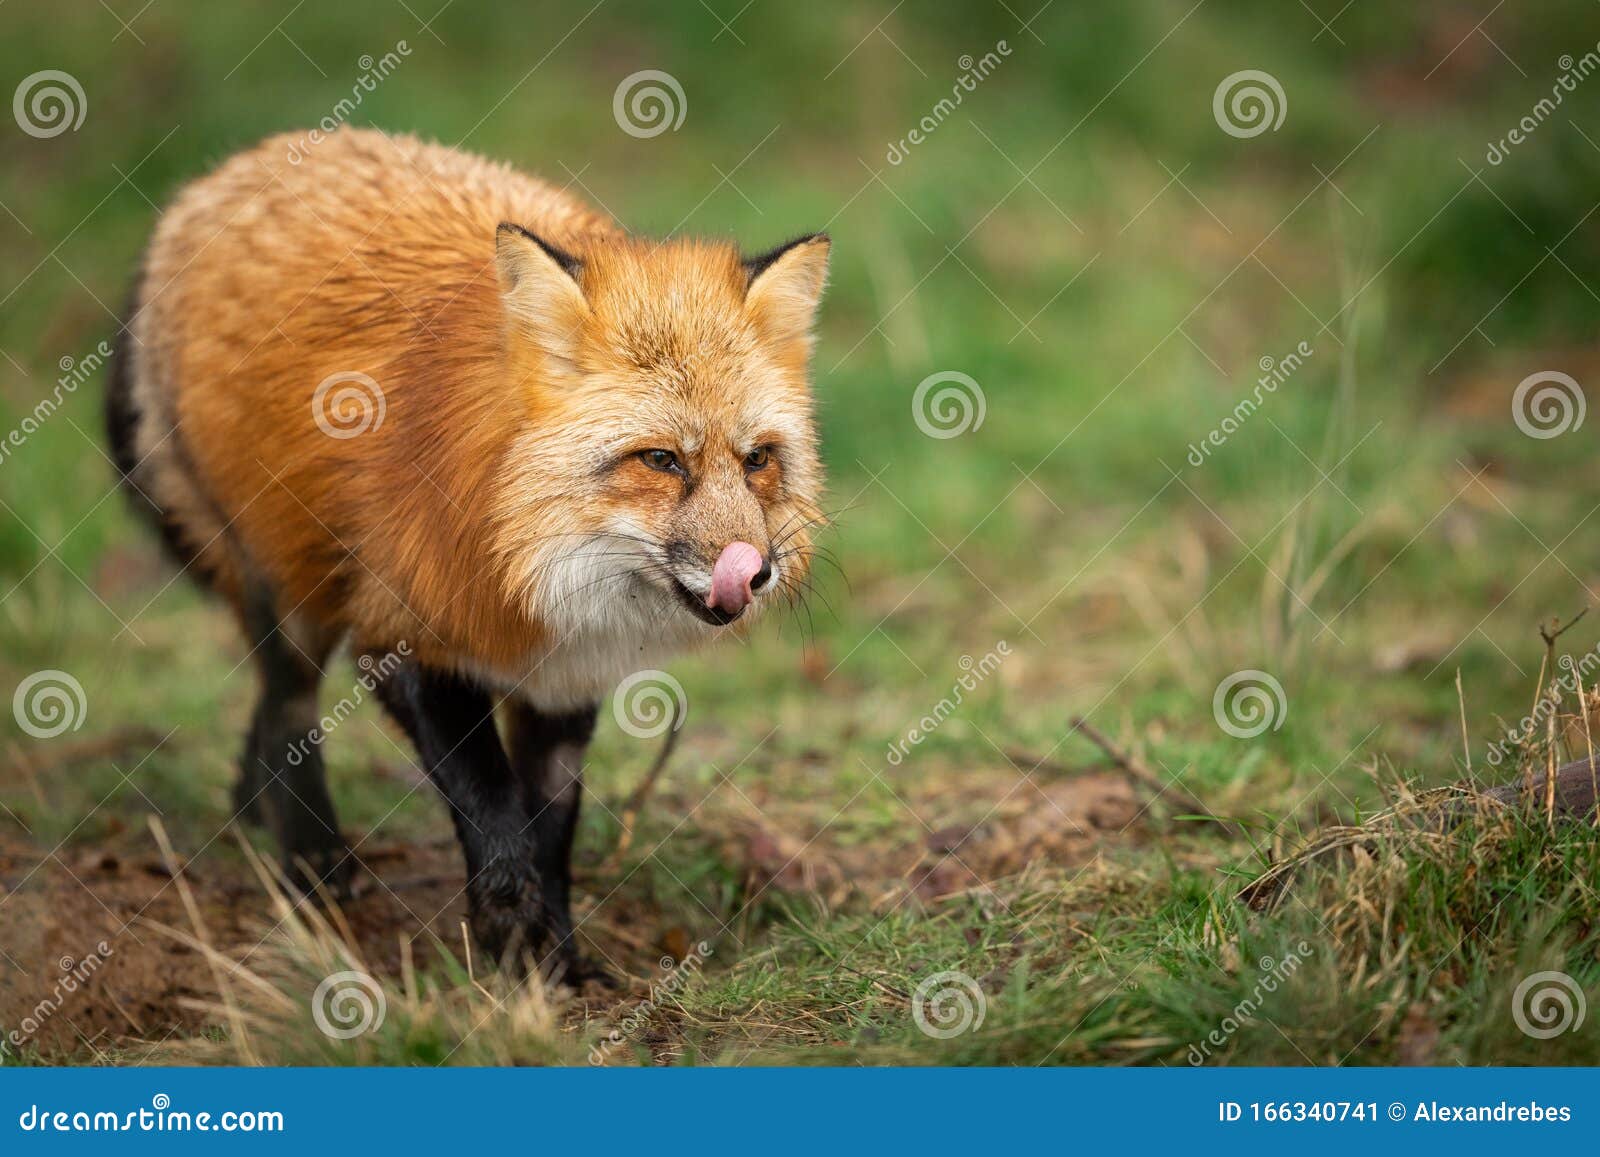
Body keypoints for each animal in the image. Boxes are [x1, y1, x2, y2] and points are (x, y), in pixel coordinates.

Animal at [104, 128, 830, 979]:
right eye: (660, 460)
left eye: (757, 460)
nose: (755, 569)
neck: (535, 566)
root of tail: (230, 170)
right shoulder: (403, 632)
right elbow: (491, 806)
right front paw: (508, 935)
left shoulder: (564, 679)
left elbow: (550, 833)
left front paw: (560, 964)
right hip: (290, 583)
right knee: (288, 707)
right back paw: (313, 864)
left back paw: (253, 811)